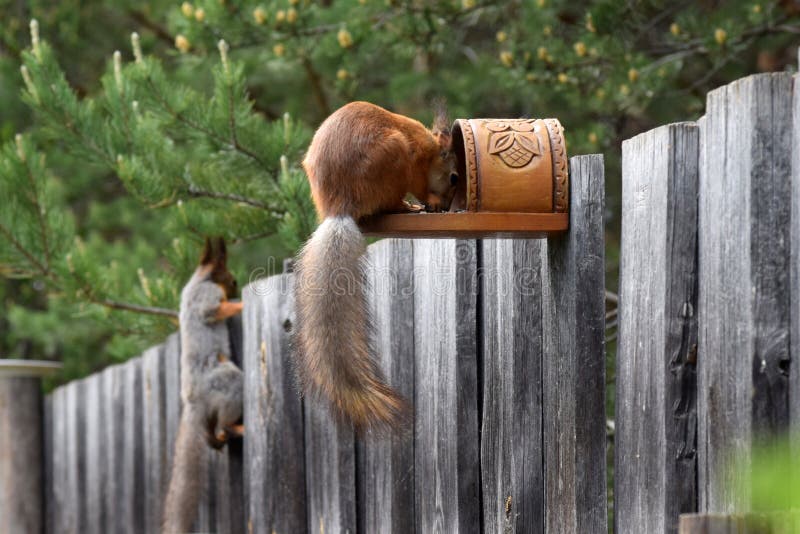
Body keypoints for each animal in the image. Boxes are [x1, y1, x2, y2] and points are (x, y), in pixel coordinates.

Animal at [163, 237, 244, 533]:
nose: (237, 286)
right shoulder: (206, 296)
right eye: (231, 278)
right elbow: (213, 311)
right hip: (229, 383)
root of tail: (193, 401)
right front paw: (241, 304)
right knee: (224, 424)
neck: (198, 279)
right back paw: (235, 428)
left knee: (213, 434)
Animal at [294, 101, 456, 434]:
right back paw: (406, 206)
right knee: (391, 201)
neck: (430, 149)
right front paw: (431, 201)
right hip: (393, 156)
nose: (448, 206)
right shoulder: (416, 161)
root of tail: (339, 208)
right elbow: (421, 183)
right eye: (453, 178)